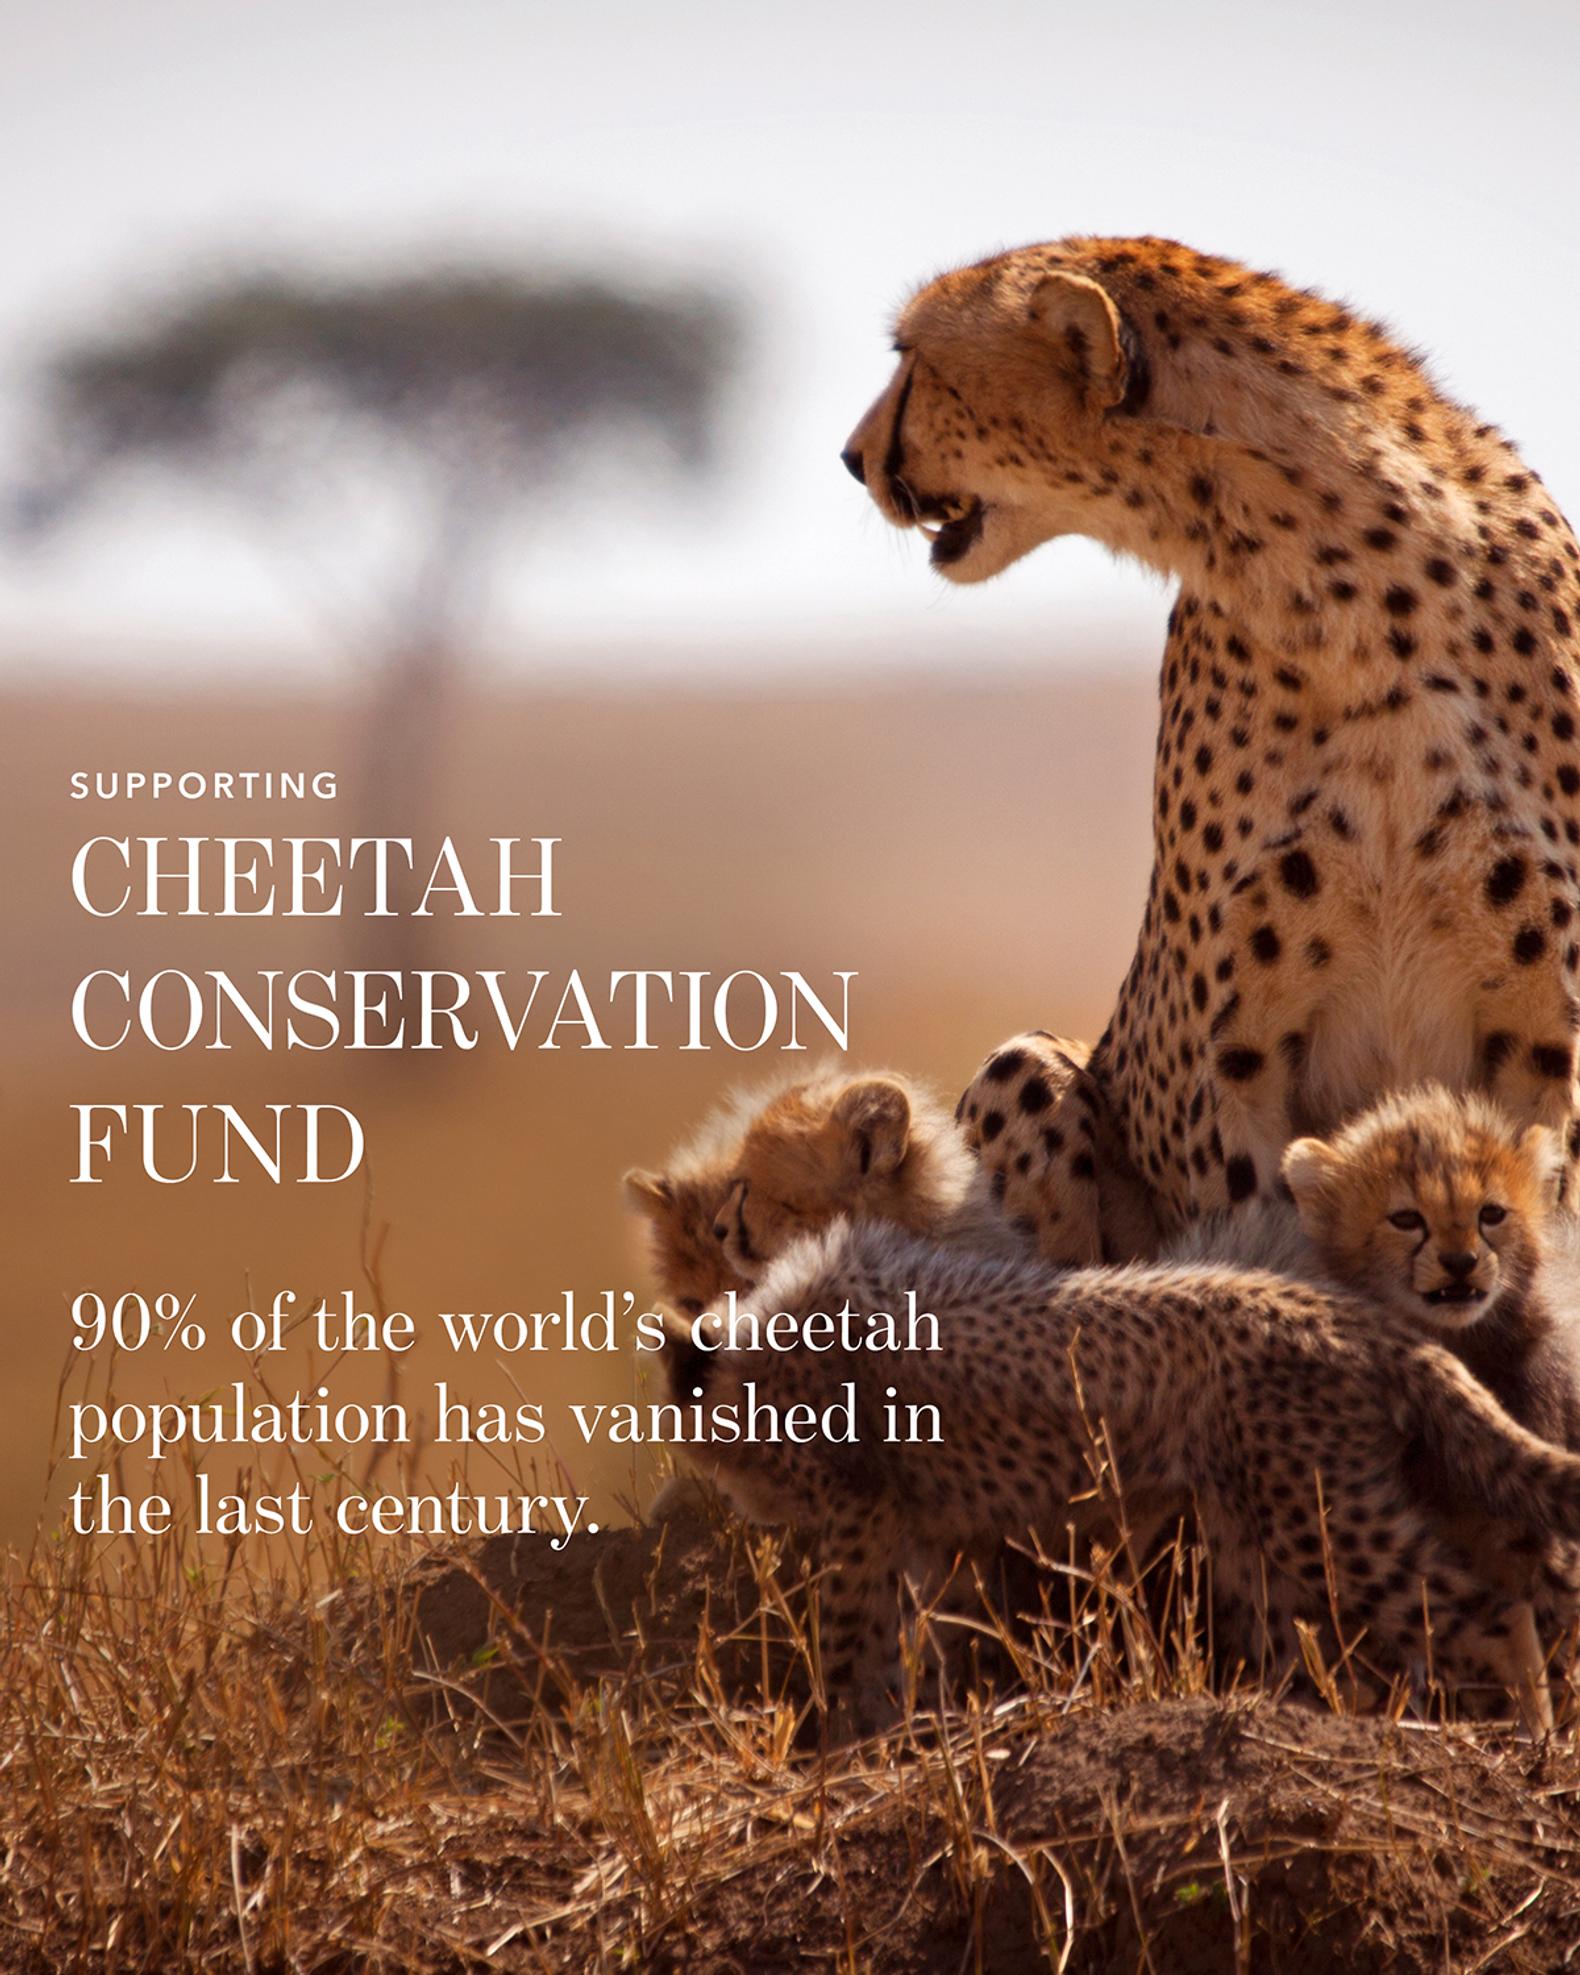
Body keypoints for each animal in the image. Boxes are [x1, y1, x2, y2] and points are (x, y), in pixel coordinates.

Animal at [842, 236, 1580, 1261]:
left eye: (914, 358)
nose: (852, 457)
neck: (1350, 586)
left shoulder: (1544, 1044)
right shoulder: (1233, 1062)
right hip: (1025, 1070)